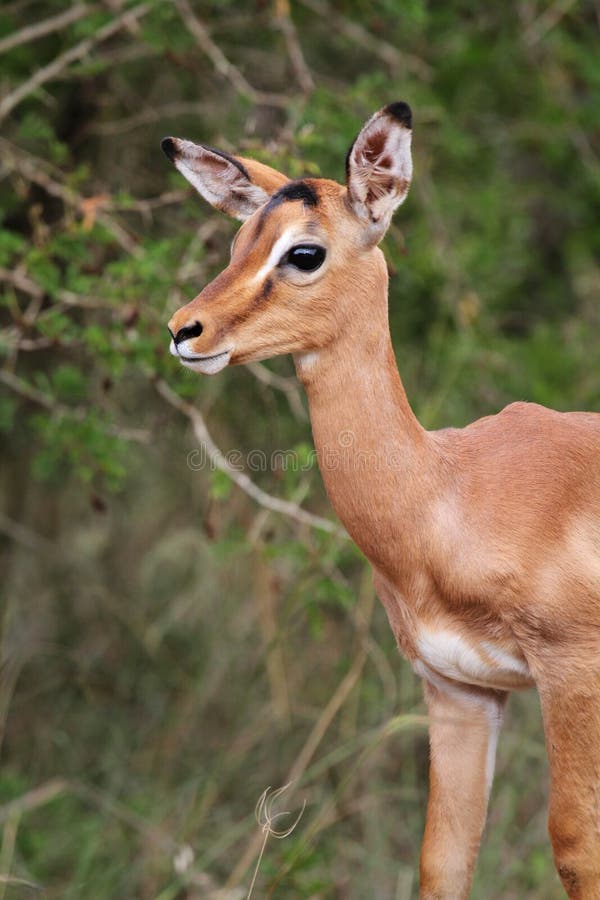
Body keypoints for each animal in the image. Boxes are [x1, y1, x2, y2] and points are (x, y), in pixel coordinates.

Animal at [162, 103, 600, 899]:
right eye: (238, 241)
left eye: (304, 252)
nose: (184, 329)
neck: (444, 495)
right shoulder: (458, 691)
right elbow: (443, 857)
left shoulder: (572, 671)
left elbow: (576, 843)